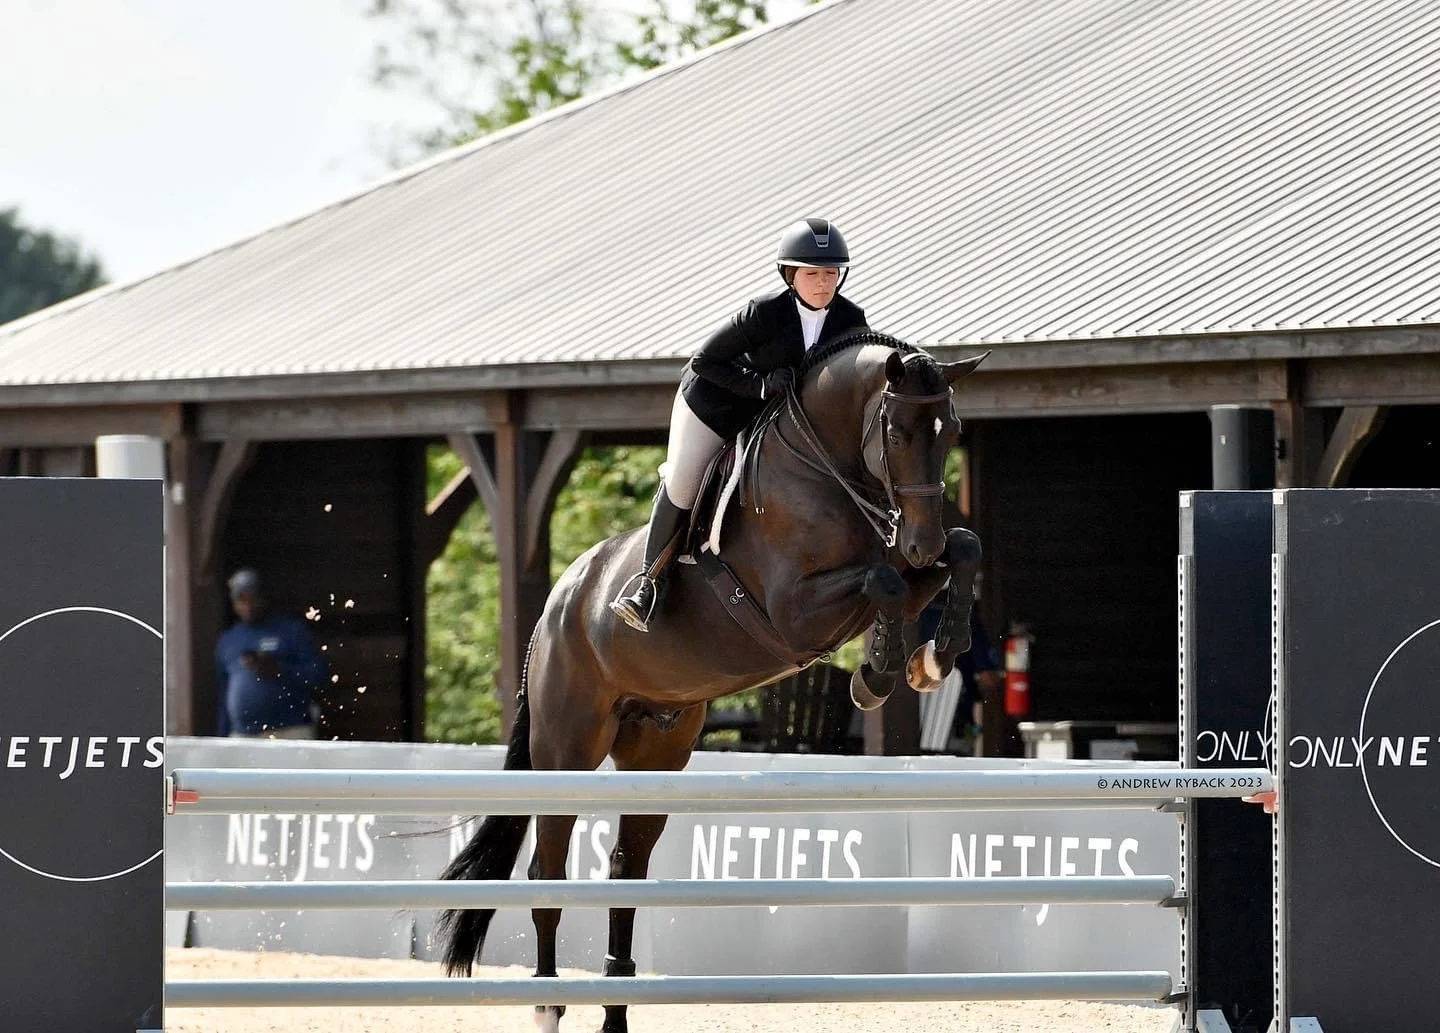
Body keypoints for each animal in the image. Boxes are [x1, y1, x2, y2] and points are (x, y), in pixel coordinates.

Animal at [436, 330, 988, 1033]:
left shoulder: (900, 560)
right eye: (896, 430)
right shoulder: (795, 612)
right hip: (566, 750)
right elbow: (884, 579)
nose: (922, 541)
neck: (830, 468)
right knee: (548, 871)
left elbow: (960, 551)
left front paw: (928, 659)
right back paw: (548, 1008)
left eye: (953, 431)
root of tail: (555, 608)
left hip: (656, 752)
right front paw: (878, 673)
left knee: (627, 866)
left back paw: (616, 1012)